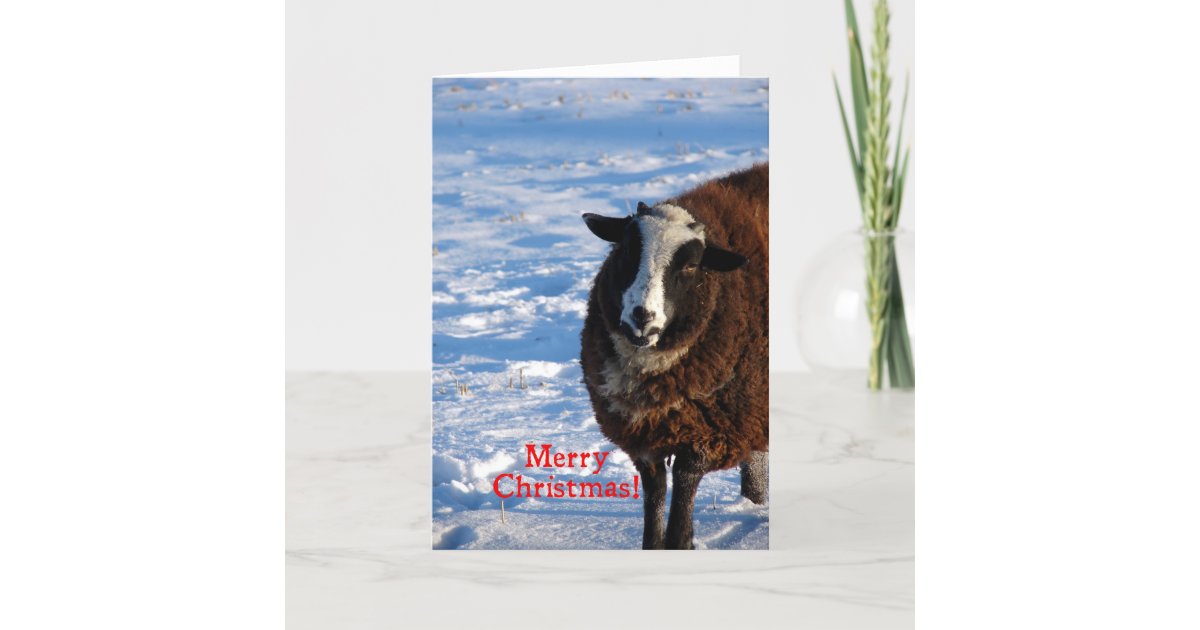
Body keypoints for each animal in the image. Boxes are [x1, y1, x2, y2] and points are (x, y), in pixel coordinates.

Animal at [579, 162, 768, 550]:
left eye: (691, 264)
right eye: (625, 250)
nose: (641, 317)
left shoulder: (707, 437)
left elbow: (682, 495)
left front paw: (681, 540)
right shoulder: (644, 439)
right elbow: (654, 501)